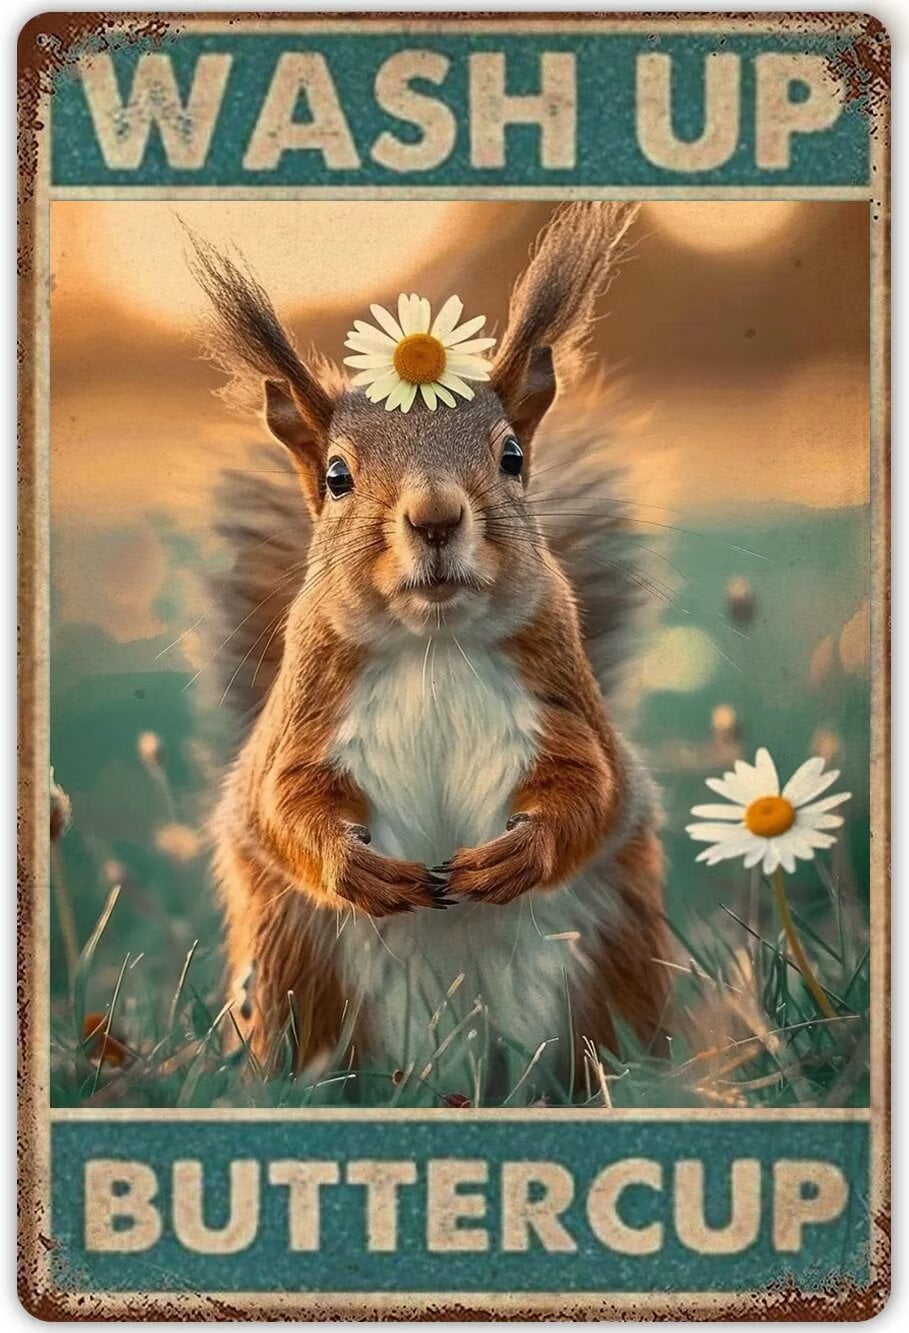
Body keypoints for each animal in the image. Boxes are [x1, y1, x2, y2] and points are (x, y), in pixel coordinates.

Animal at [191, 202, 671, 1095]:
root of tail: (465, 1070)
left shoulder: (563, 703)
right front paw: (358, 870)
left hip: (613, 960)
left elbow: (590, 790)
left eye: (511, 456)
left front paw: (515, 857)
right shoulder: (304, 720)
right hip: (297, 964)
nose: (436, 516)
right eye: (336, 476)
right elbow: (284, 802)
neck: (432, 645)